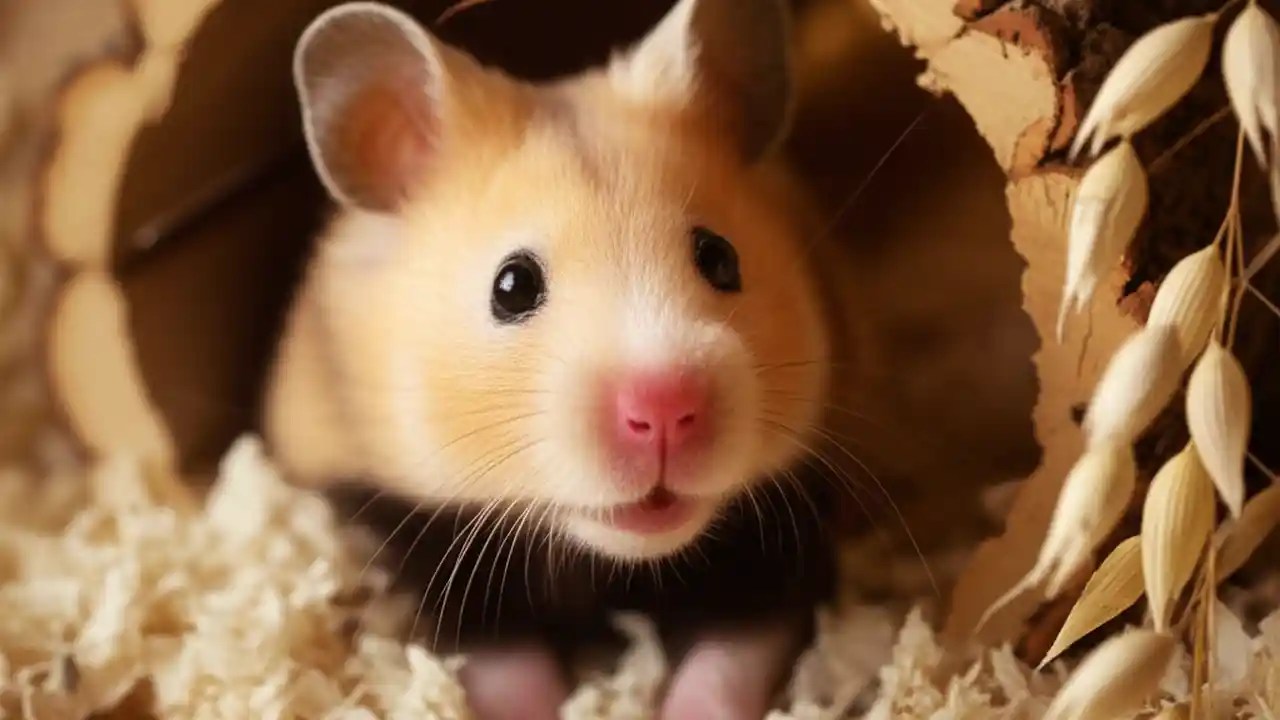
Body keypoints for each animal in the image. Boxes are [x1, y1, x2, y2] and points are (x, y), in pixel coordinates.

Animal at [264, 0, 868, 717]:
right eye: (512, 286)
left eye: (720, 258)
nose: (665, 410)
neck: (606, 560)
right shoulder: (430, 558)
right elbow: (509, 676)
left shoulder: (773, 551)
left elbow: (726, 667)